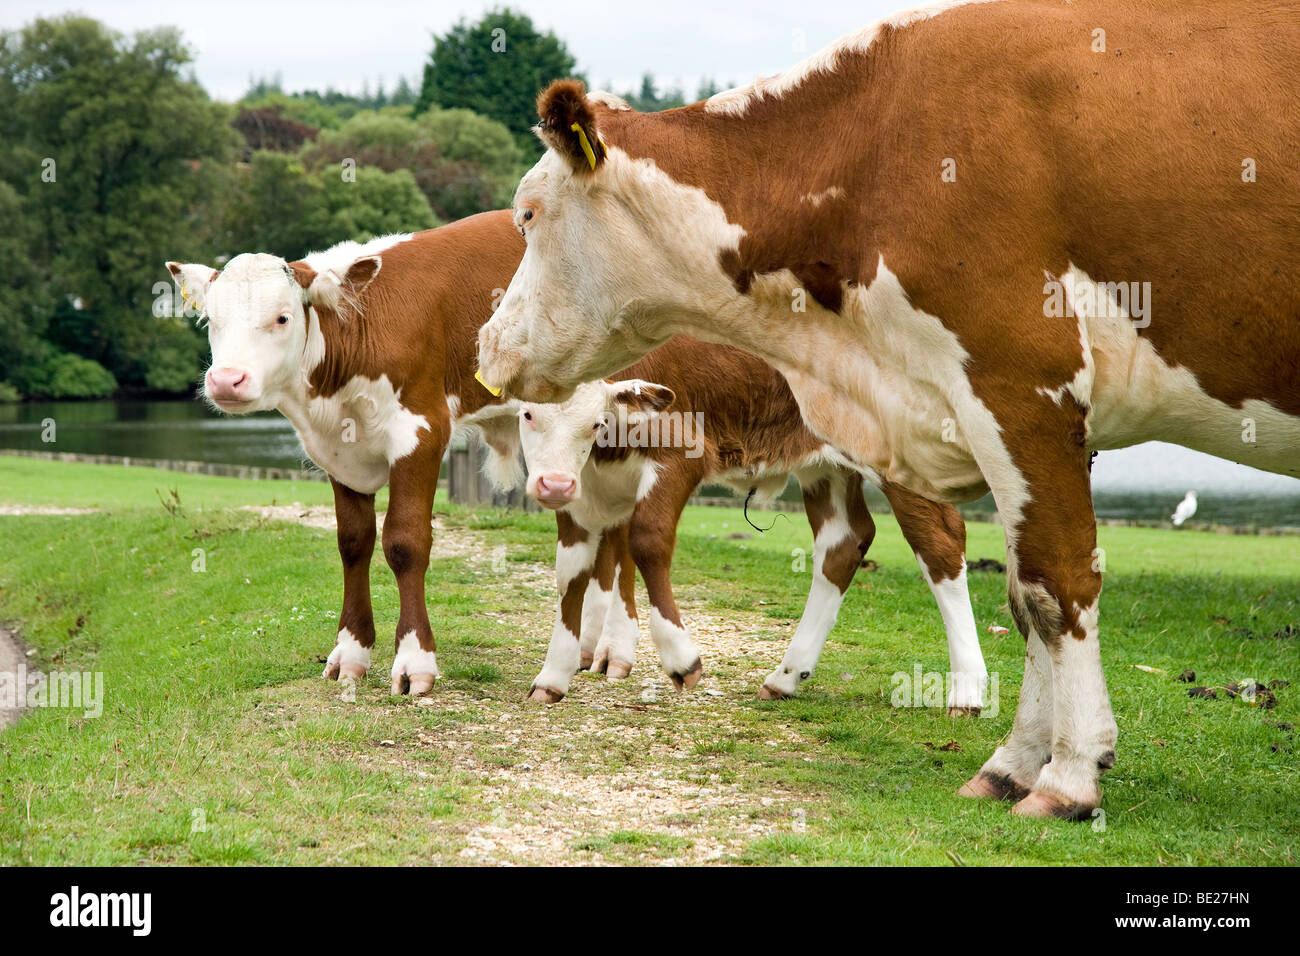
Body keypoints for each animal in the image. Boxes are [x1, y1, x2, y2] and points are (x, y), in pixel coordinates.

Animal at [167, 211, 525, 696]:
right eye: (210, 321)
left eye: (282, 318)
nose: (226, 380)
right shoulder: (340, 451)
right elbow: (354, 543)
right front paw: (350, 654)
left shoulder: (421, 431)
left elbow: (405, 543)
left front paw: (415, 661)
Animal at [507, 339, 988, 709]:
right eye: (528, 415)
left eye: (595, 422)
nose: (554, 485)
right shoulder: (581, 490)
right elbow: (570, 572)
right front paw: (553, 675)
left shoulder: (679, 450)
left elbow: (646, 540)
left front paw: (680, 657)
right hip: (825, 463)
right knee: (844, 542)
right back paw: (787, 675)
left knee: (940, 540)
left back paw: (967, 690)